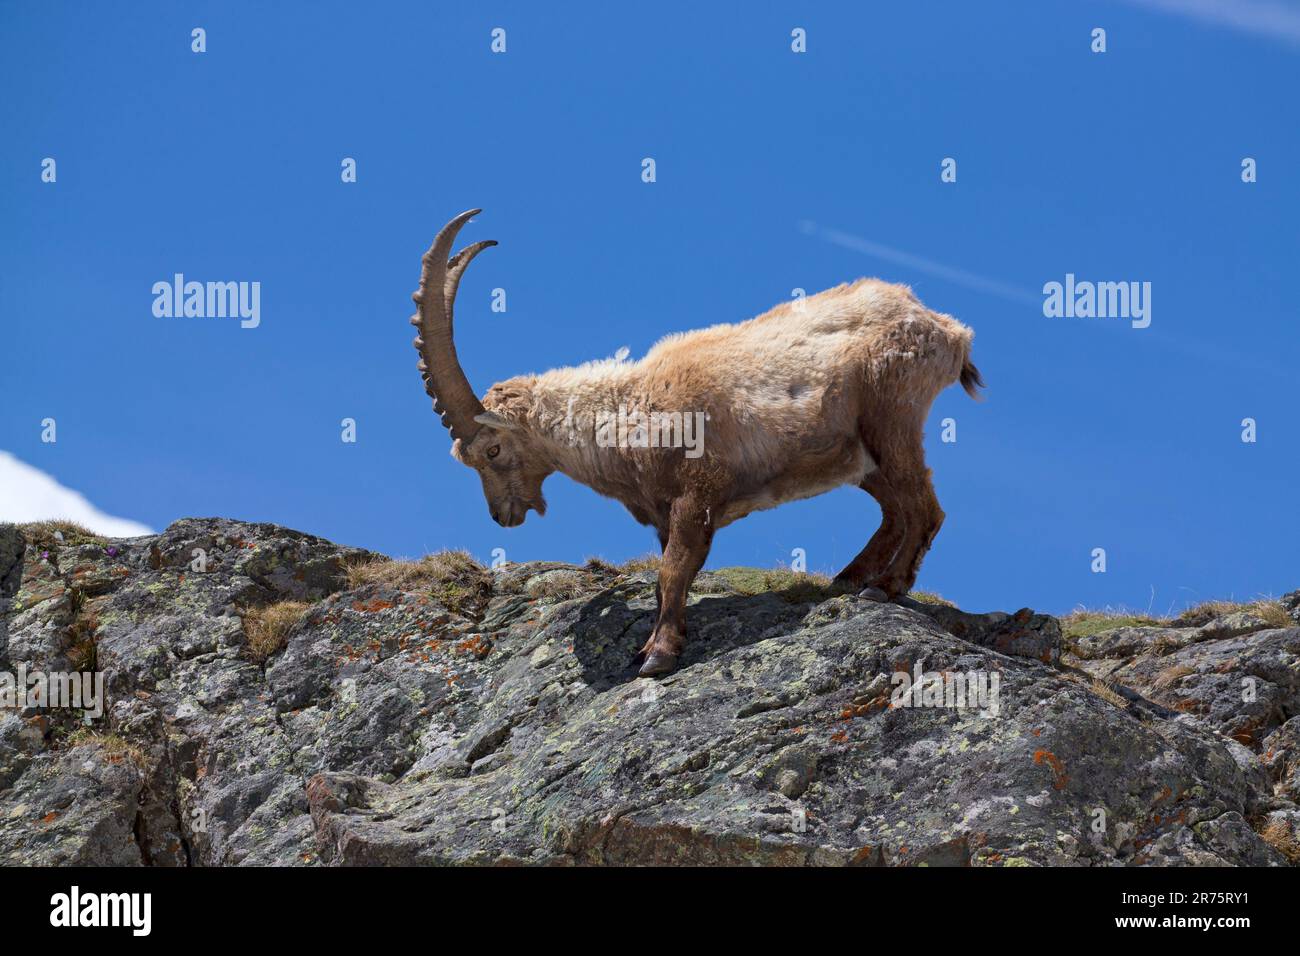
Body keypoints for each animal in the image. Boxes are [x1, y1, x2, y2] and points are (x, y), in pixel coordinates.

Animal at [411, 210, 983, 677]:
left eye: (492, 451)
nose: (502, 516)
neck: (627, 409)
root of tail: (948, 329)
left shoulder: (699, 490)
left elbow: (674, 568)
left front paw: (658, 656)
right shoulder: (665, 511)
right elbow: (667, 577)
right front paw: (655, 644)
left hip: (892, 418)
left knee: (925, 507)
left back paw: (885, 587)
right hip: (858, 454)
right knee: (894, 508)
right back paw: (848, 578)